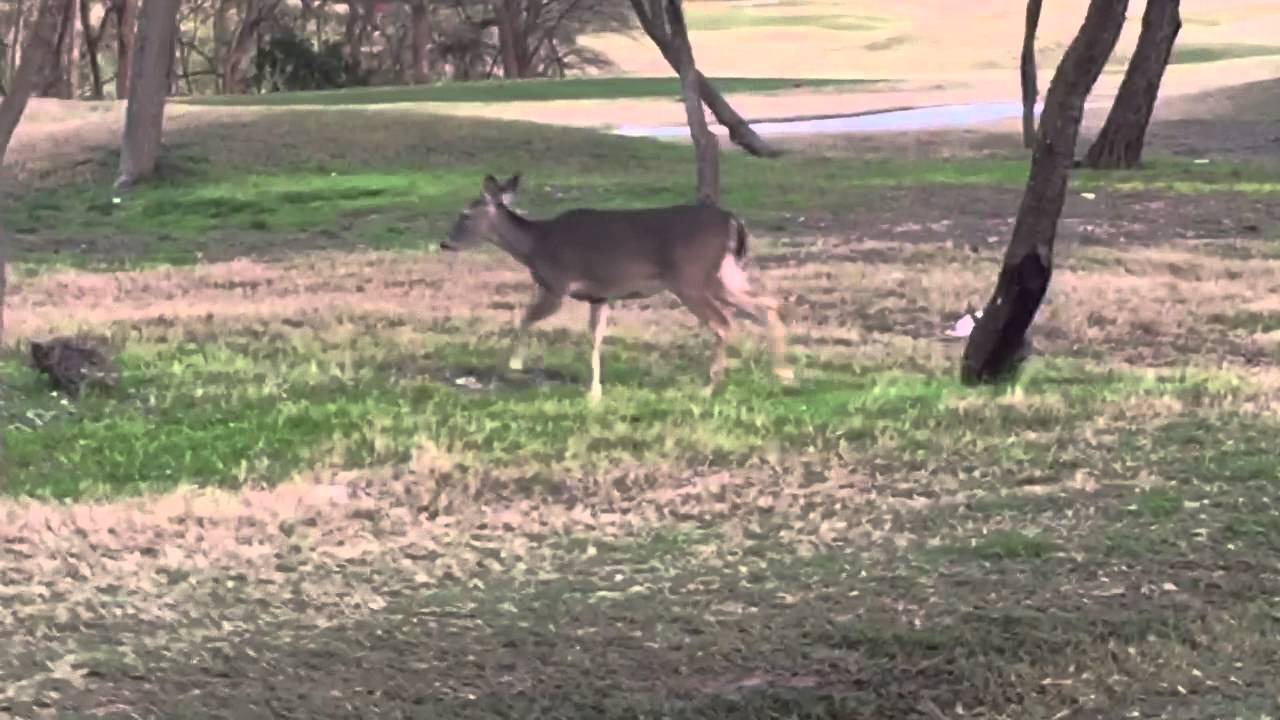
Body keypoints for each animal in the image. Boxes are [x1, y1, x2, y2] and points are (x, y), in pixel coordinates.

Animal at [442, 173, 793, 403]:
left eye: (465, 214)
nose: (445, 243)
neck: (536, 245)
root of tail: (734, 221)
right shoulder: (599, 295)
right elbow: (594, 338)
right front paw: (594, 391)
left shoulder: (557, 284)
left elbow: (524, 319)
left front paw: (514, 363)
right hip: (724, 274)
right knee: (767, 306)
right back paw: (783, 374)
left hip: (690, 279)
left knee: (724, 323)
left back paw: (709, 387)